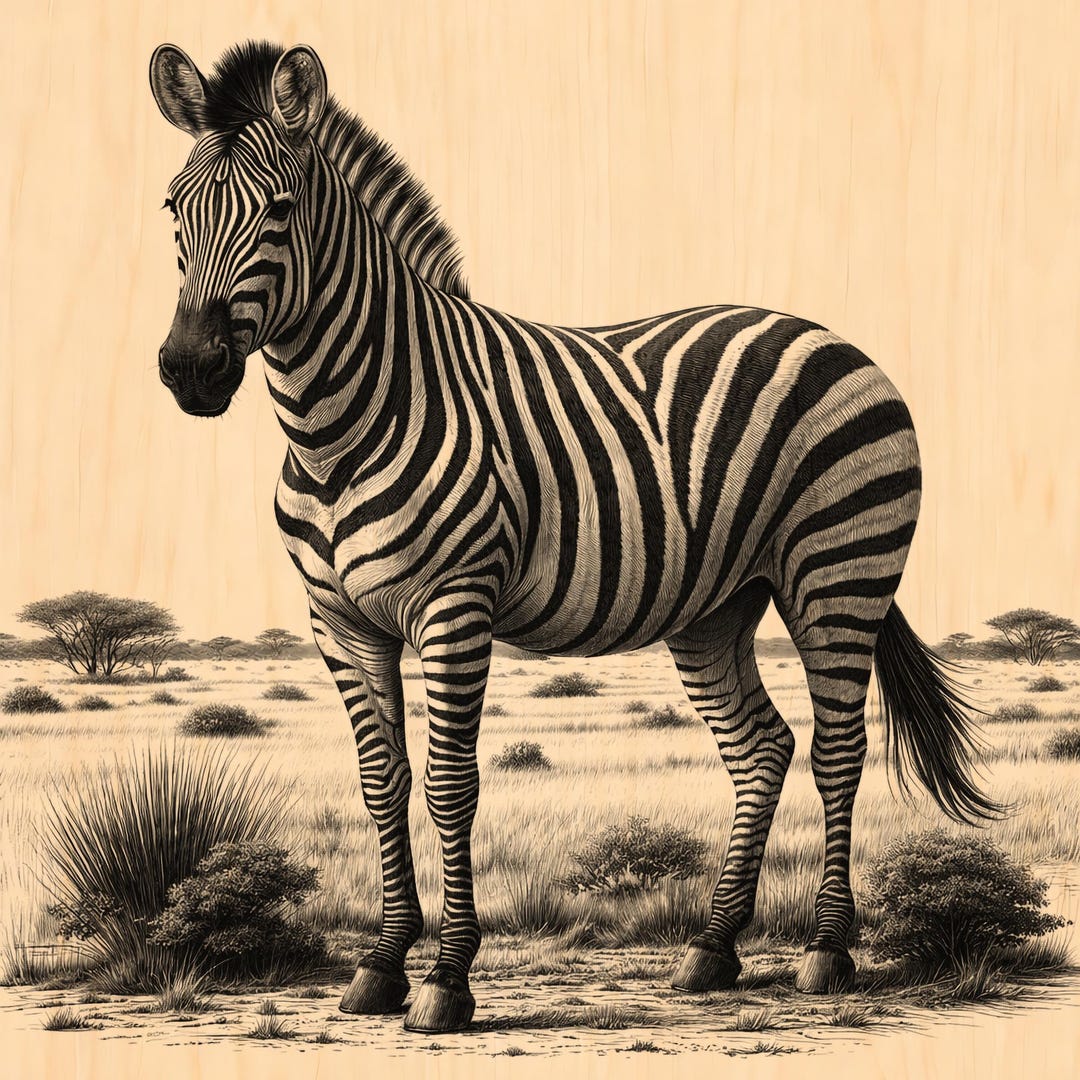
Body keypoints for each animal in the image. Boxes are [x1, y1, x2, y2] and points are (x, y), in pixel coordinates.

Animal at [150, 40, 998, 1033]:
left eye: (279, 211)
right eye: (174, 209)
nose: (190, 370)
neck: (340, 429)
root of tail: (831, 337)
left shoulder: (455, 601)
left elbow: (449, 782)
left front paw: (447, 979)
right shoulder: (340, 621)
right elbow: (381, 782)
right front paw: (380, 964)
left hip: (838, 570)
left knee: (836, 751)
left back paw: (826, 953)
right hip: (717, 604)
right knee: (762, 748)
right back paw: (711, 950)